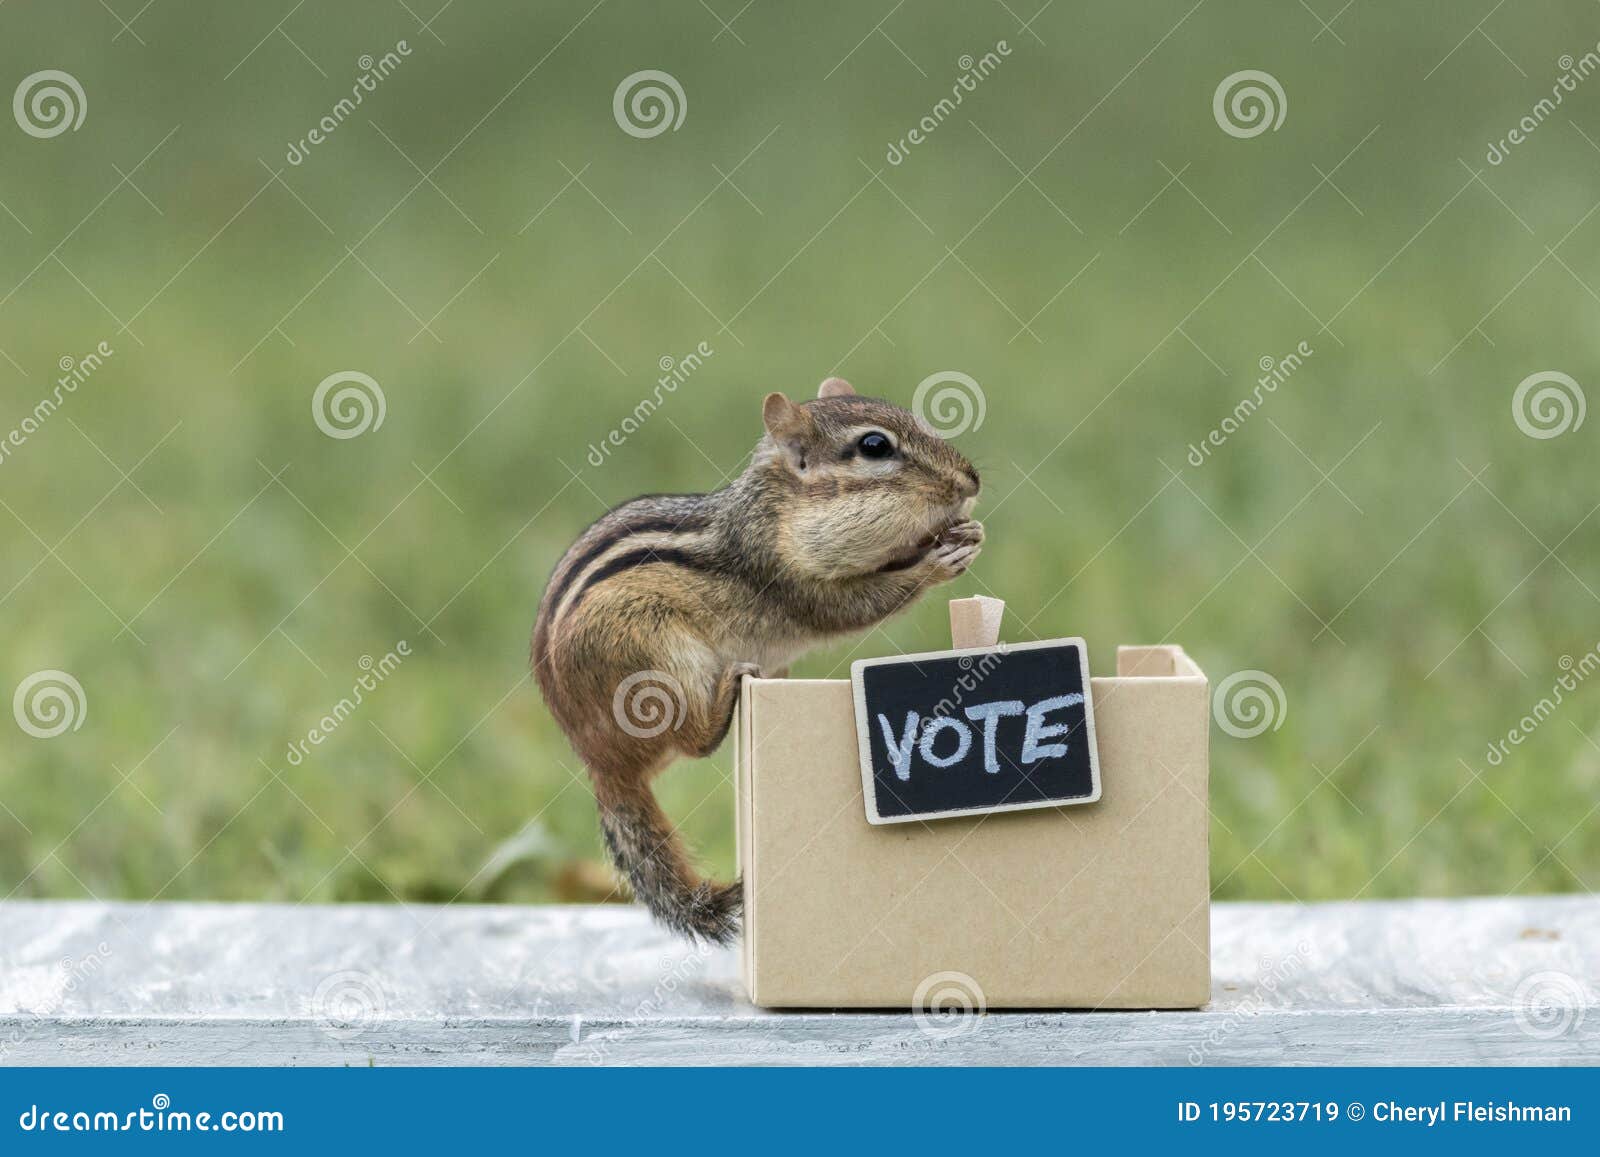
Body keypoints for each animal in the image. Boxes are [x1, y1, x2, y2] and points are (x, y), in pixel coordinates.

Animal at [531, 377, 982, 943]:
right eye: (875, 446)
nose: (971, 481)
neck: (777, 509)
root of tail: (598, 762)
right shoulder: (784, 576)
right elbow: (853, 605)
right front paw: (937, 561)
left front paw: (966, 533)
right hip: (658, 663)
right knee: (694, 742)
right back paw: (730, 689)